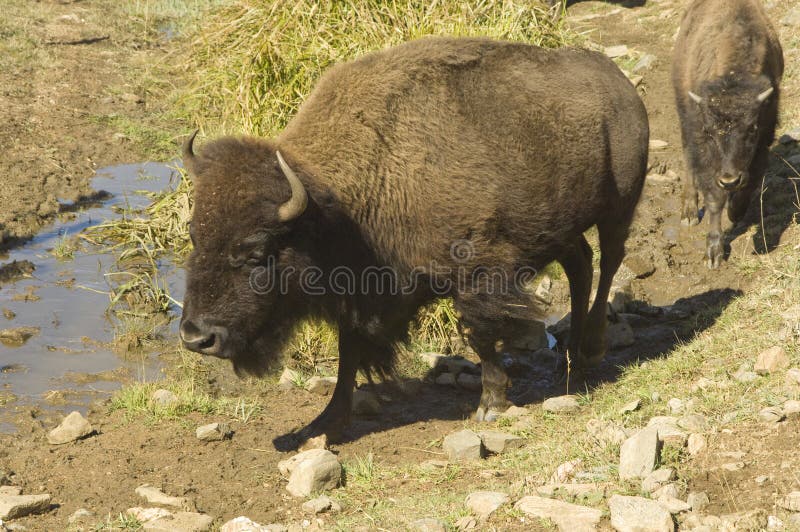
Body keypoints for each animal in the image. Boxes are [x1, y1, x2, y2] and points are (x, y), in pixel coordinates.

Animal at [180, 37, 649, 445]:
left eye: (257, 251)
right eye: (194, 236)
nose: (196, 338)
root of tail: (621, 85)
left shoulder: (477, 272)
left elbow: (478, 334)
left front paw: (491, 403)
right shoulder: (362, 293)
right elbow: (349, 355)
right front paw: (323, 423)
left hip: (619, 207)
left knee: (608, 262)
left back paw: (590, 351)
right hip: (559, 227)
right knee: (581, 265)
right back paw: (568, 360)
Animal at [672, 0, 783, 268]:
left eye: (752, 128)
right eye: (709, 132)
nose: (729, 180)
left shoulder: (763, 138)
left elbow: (750, 182)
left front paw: (735, 211)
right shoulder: (703, 146)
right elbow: (714, 198)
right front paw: (713, 253)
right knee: (687, 157)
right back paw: (689, 211)